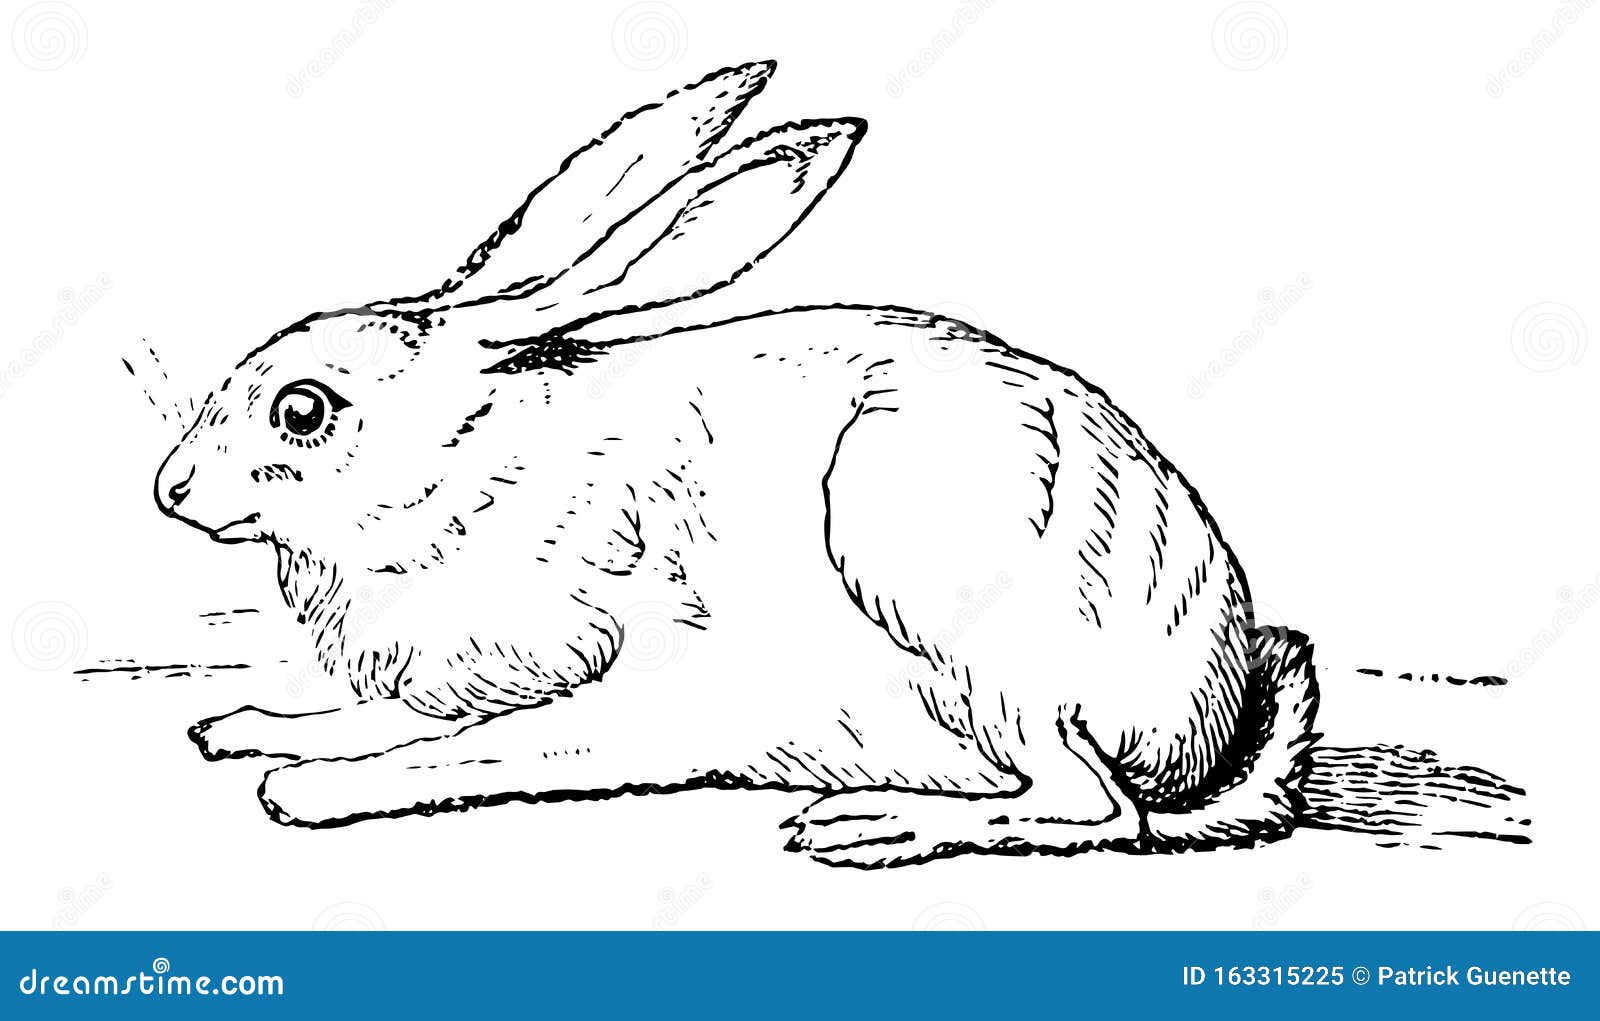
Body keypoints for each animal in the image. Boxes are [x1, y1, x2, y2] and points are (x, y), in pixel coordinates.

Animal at [154, 59, 1322, 868]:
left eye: (303, 411)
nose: (170, 491)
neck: (471, 466)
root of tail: (1212, 703)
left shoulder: (646, 678)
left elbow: (461, 751)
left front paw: (301, 789)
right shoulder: (462, 677)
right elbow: (384, 719)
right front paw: (243, 729)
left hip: (940, 594)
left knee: (1093, 804)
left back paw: (867, 826)